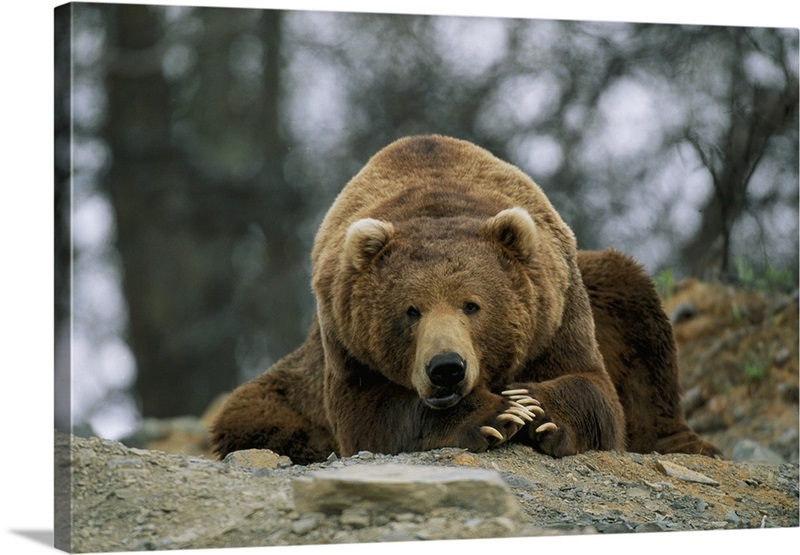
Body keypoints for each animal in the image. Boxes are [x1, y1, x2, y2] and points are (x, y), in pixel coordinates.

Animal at [210, 135, 721, 464]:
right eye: (410, 311)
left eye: (472, 305)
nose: (446, 368)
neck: (435, 195)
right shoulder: (346, 341)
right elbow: (371, 416)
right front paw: (496, 413)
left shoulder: (556, 313)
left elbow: (595, 389)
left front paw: (540, 410)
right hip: (294, 387)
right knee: (252, 413)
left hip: (604, 289)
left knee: (637, 318)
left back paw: (687, 443)